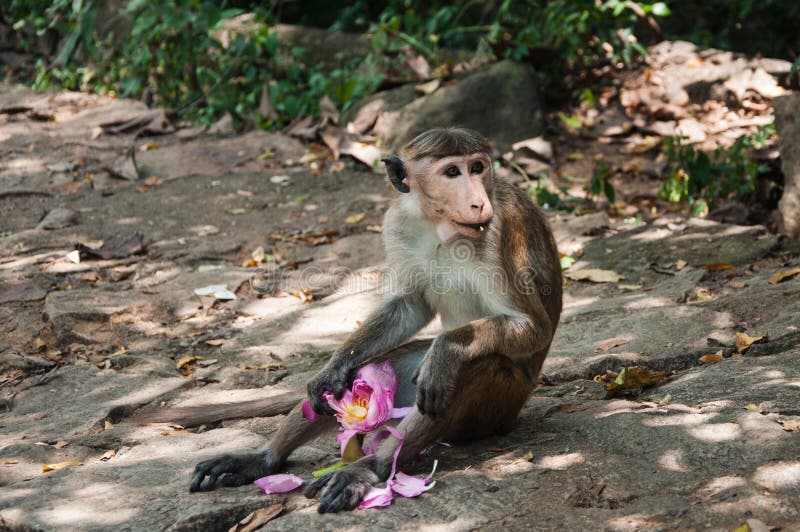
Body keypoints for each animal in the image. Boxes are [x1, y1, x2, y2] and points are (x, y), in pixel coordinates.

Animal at [176, 128, 562, 513]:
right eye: (453, 172)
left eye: (478, 167)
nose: (479, 202)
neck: (439, 225)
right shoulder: (397, 224)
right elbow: (408, 306)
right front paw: (332, 368)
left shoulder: (497, 233)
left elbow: (533, 327)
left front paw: (446, 351)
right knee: (359, 376)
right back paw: (264, 458)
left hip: (501, 403)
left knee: (469, 369)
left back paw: (372, 466)